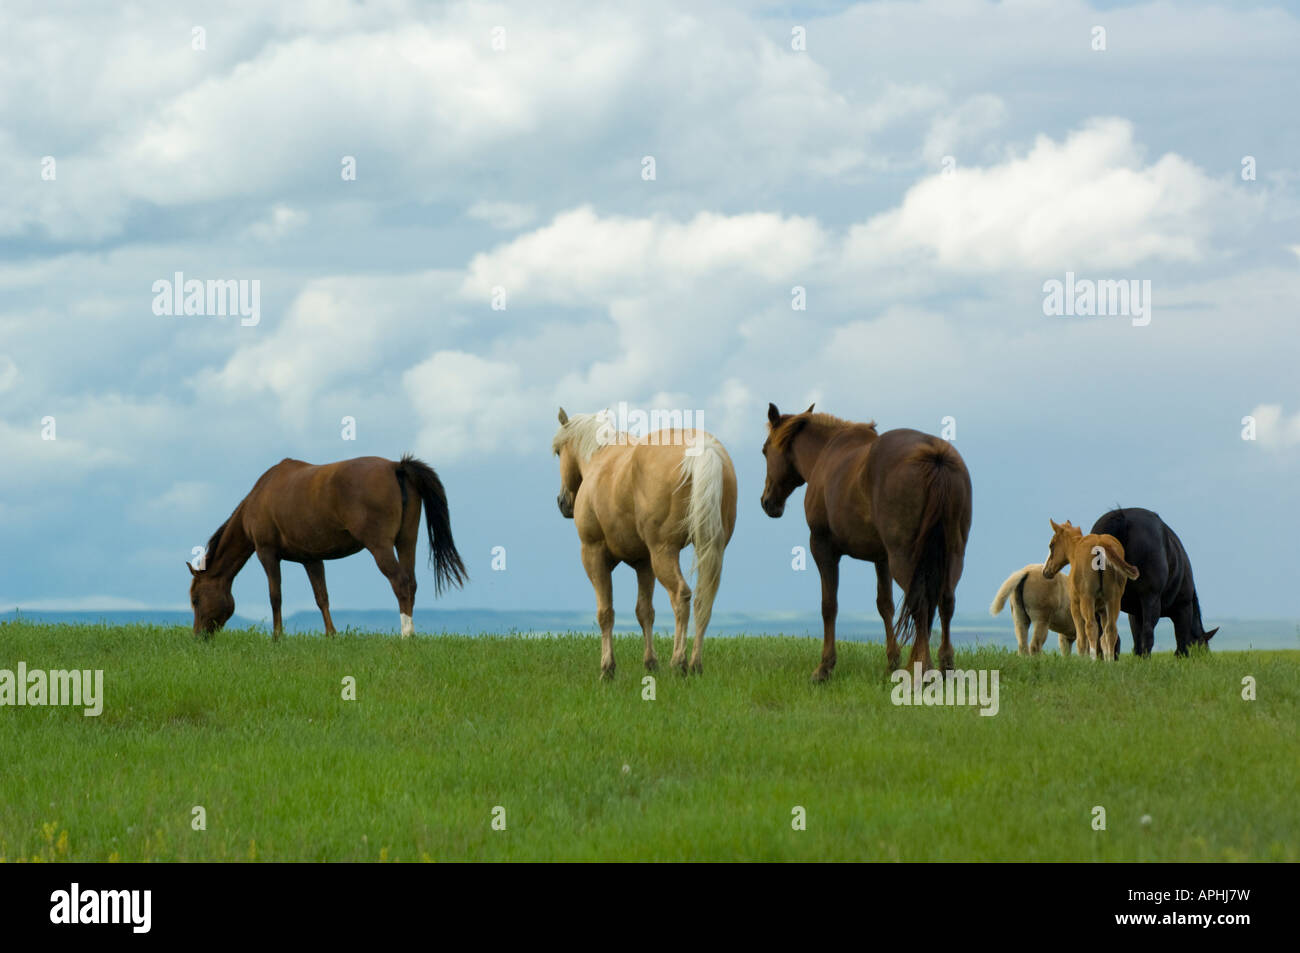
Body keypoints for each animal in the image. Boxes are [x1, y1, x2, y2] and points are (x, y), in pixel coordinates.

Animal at [188, 455, 467, 639]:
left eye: (195, 599)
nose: (198, 637)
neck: (260, 496)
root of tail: (395, 466)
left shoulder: (267, 553)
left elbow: (275, 596)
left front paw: (277, 637)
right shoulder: (312, 559)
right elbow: (322, 597)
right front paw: (331, 635)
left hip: (381, 546)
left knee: (400, 582)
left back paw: (406, 634)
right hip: (407, 541)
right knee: (411, 582)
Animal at [552, 408, 737, 678]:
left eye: (558, 451)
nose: (563, 502)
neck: (600, 458)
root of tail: (702, 449)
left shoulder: (593, 554)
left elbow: (605, 613)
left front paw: (607, 668)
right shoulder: (643, 563)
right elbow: (644, 611)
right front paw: (650, 662)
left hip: (664, 552)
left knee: (681, 596)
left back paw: (679, 661)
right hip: (709, 550)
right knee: (703, 599)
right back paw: (695, 664)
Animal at [760, 403, 972, 679]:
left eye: (765, 451)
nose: (767, 502)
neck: (826, 454)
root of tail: (935, 456)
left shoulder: (822, 547)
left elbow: (829, 605)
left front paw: (825, 667)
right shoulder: (881, 558)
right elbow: (885, 605)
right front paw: (892, 661)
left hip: (905, 558)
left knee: (921, 604)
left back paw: (923, 668)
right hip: (952, 554)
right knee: (946, 601)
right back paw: (945, 664)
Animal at [1041, 520, 1138, 661]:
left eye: (1051, 545)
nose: (1045, 571)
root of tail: (1101, 543)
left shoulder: (1075, 605)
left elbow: (1082, 639)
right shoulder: (1103, 609)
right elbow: (1104, 638)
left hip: (1087, 599)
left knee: (1091, 627)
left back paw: (1092, 660)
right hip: (1113, 600)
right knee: (1111, 630)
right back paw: (1110, 661)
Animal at [1090, 507, 1218, 656]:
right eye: (1203, 648)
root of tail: (1122, 517)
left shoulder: (1135, 614)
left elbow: (1136, 642)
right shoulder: (1184, 607)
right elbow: (1182, 642)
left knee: (1102, 635)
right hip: (1150, 598)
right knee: (1148, 633)